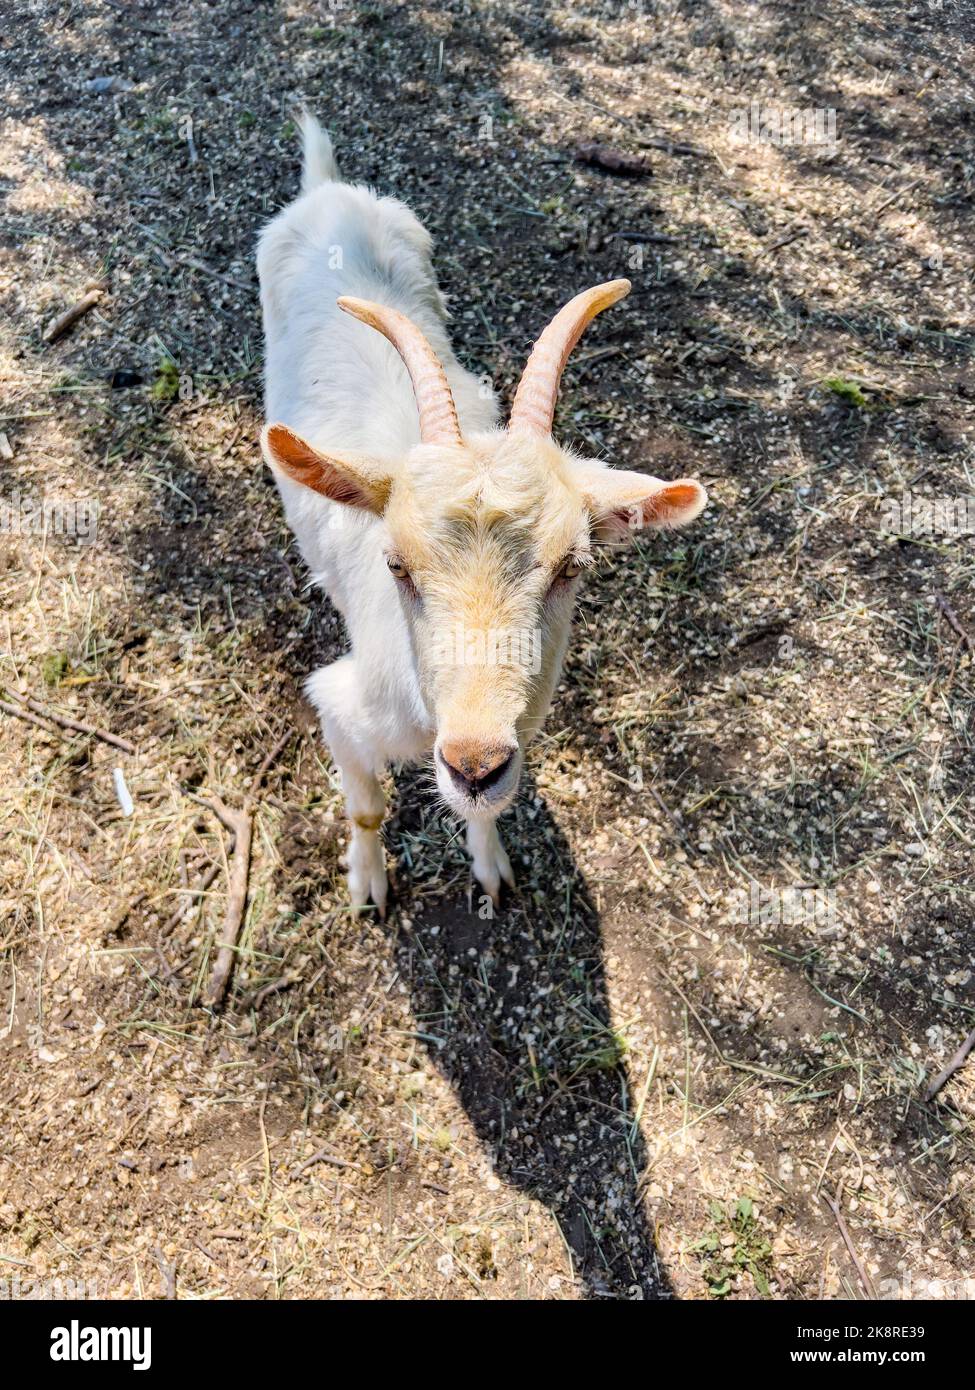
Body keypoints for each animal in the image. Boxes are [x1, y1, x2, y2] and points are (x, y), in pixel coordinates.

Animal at [258, 115, 707, 914]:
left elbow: (490, 816)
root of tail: (327, 188)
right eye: (396, 564)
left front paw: (491, 865)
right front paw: (368, 887)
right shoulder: (341, 706)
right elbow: (365, 804)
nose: (474, 762)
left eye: (572, 567)